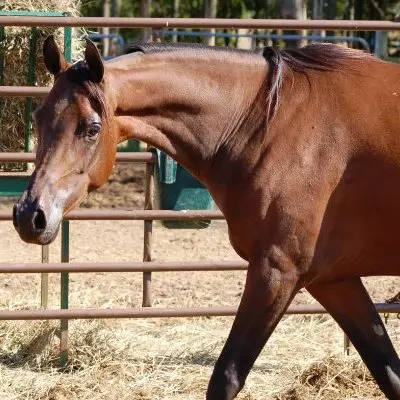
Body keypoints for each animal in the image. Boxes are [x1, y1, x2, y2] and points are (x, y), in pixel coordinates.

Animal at [12, 36, 400, 398]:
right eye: (38, 118)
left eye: (91, 128)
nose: (30, 214)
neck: (273, 123)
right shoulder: (334, 281)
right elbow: (389, 372)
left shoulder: (276, 271)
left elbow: (226, 375)